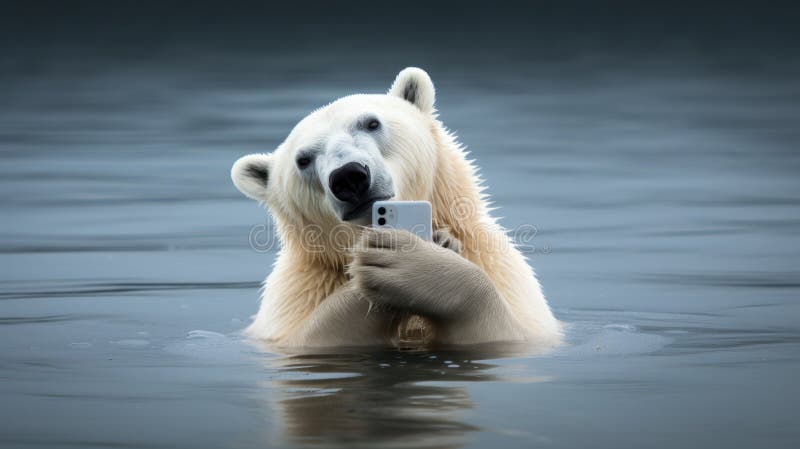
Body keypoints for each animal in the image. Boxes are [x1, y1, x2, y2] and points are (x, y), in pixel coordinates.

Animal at [231, 67, 562, 349]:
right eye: (302, 160)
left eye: (372, 123)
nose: (348, 176)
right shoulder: (296, 298)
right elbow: (315, 335)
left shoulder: (500, 271)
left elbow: (502, 330)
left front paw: (428, 262)